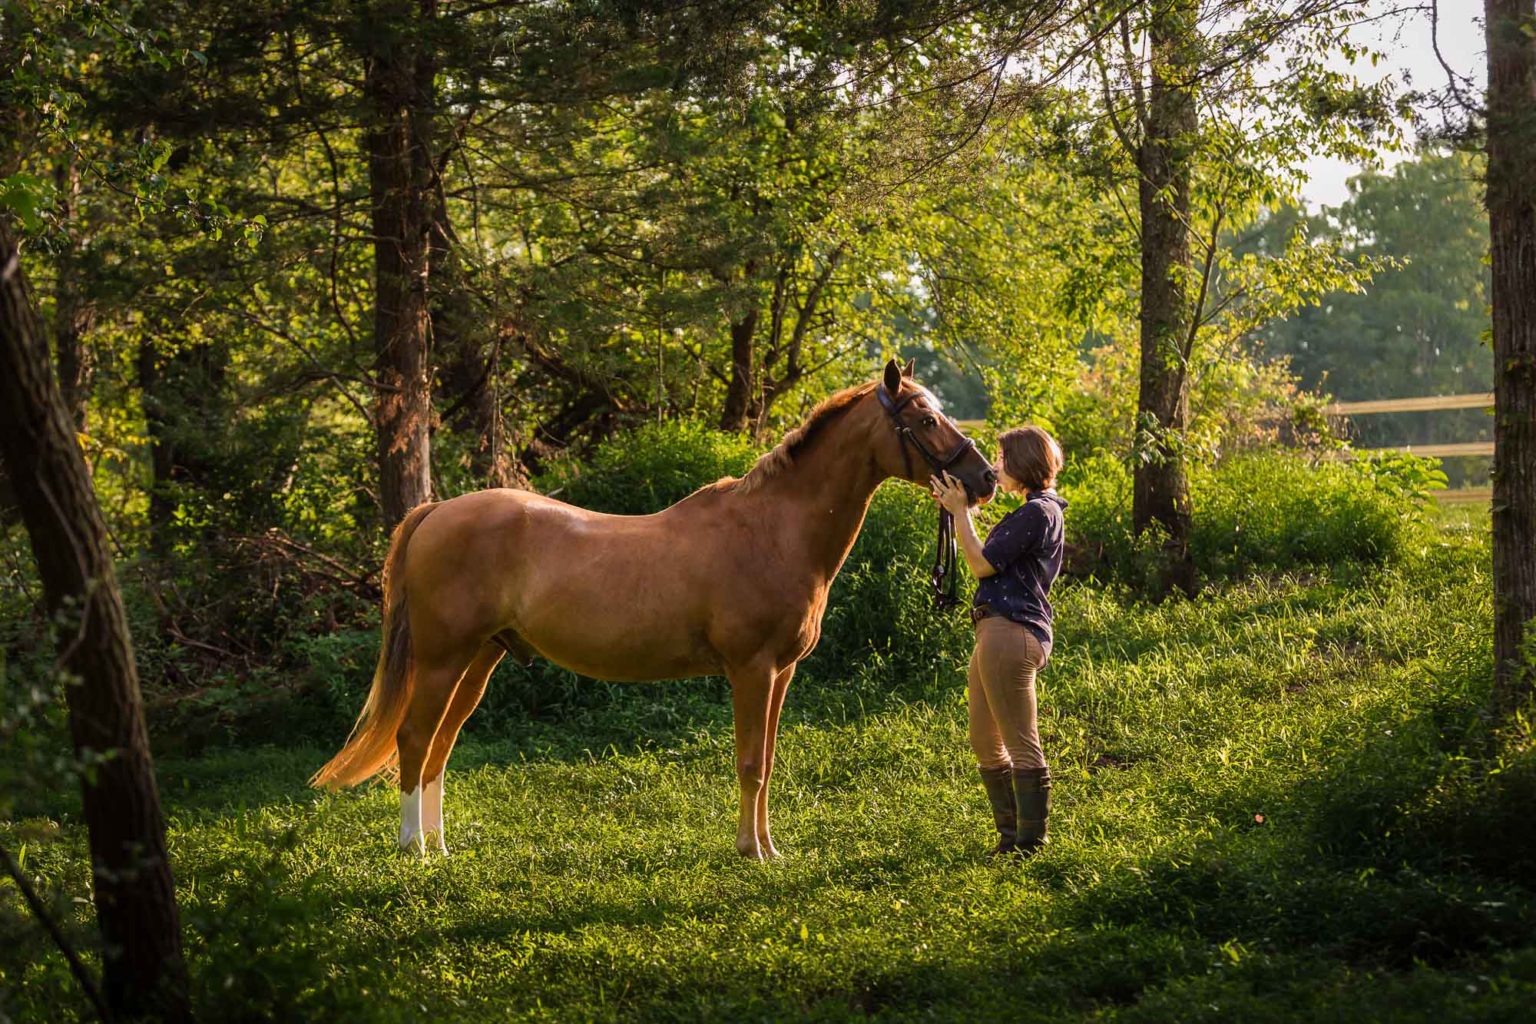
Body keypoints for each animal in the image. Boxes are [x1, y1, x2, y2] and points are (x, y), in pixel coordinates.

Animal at [311, 359, 997, 859]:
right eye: (925, 419)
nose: (984, 479)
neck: (773, 530)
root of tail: (435, 512)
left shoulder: (782, 674)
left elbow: (769, 761)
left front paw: (770, 848)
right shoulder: (751, 670)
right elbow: (750, 763)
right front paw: (751, 852)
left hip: (479, 660)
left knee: (441, 746)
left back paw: (440, 847)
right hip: (442, 658)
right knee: (414, 738)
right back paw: (413, 850)